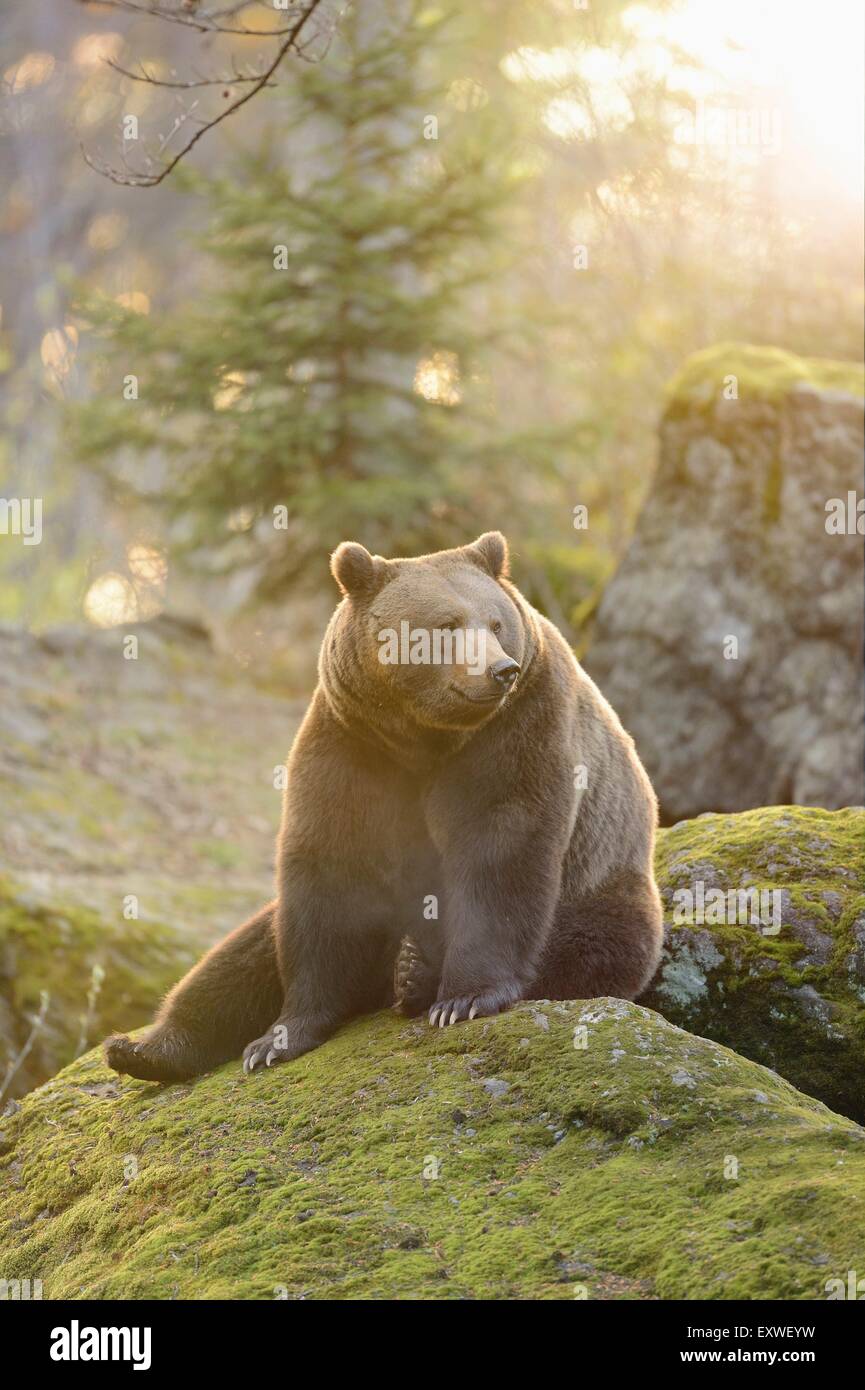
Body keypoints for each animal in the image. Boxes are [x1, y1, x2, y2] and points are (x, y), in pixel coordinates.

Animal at [105, 531, 663, 1083]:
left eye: (497, 623)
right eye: (447, 624)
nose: (501, 670)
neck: (423, 737)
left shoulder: (520, 726)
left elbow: (503, 845)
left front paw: (463, 998)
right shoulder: (350, 742)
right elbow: (328, 875)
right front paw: (278, 1038)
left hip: (602, 883)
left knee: (589, 946)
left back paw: (414, 973)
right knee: (236, 957)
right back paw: (143, 1049)